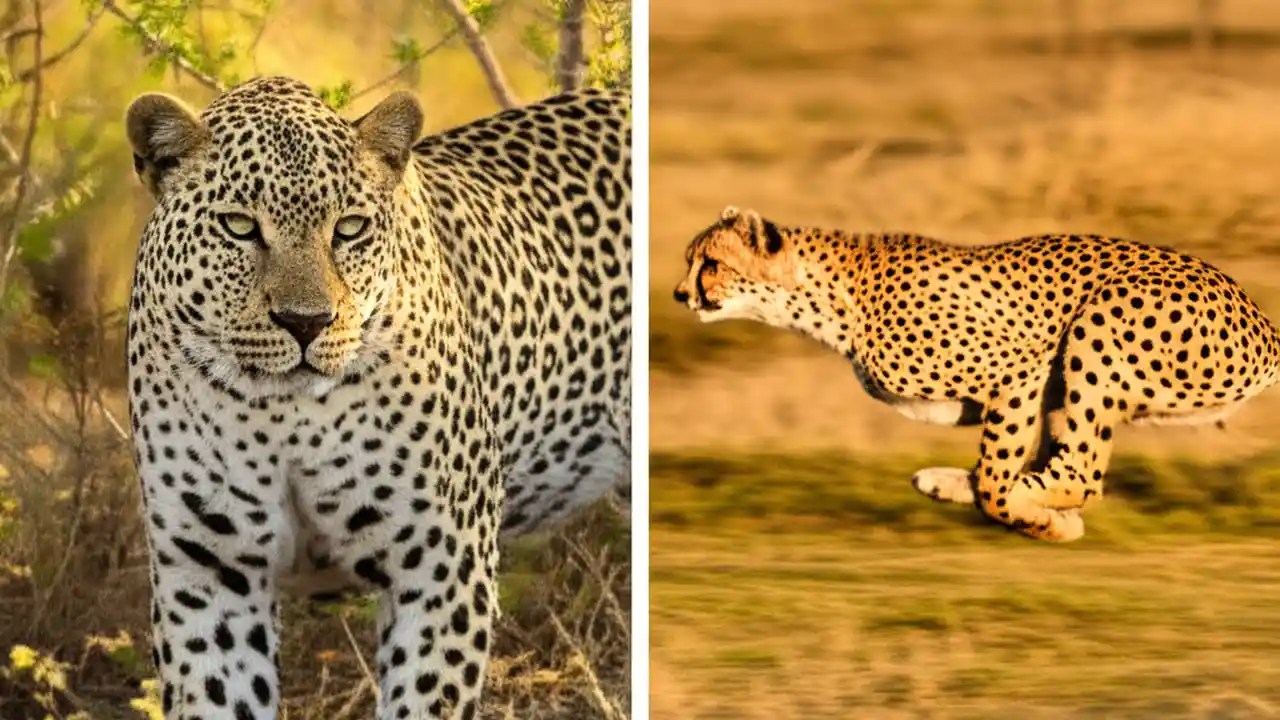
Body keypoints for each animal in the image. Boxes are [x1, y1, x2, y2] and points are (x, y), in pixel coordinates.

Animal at [124, 75, 630, 720]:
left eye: (349, 229)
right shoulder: (210, 574)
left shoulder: (441, 565)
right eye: (239, 226)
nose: (306, 322)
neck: (282, 416)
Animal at [673, 206, 1280, 543]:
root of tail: (1260, 318)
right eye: (690, 260)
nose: (680, 294)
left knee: (1082, 476)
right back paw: (949, 483)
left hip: (1098, 326)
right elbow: (1002, 467)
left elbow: (997, 477)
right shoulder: (1034, 389)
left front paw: (1047, 523)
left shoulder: (1023, 367)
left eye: (712, 264)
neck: (833, 298)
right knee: (1068, 467)